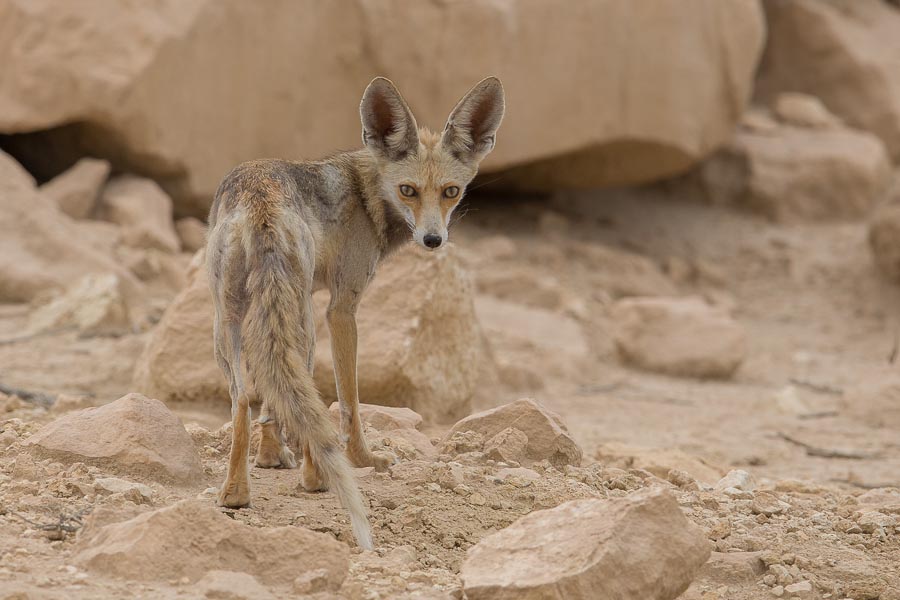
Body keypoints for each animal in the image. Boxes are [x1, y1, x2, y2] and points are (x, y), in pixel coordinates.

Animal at [205, 76, 505, 550]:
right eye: (408, 190)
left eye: (450, 192)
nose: (433, 240)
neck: (367, 197)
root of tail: (258, 198)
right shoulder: (342, 306)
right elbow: (349, 400)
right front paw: (364, 459)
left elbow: (273, 401)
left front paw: (271, 457)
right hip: (305, 324)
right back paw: (314, 479)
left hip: (231, 319)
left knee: (241, 400)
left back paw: (235, 494)